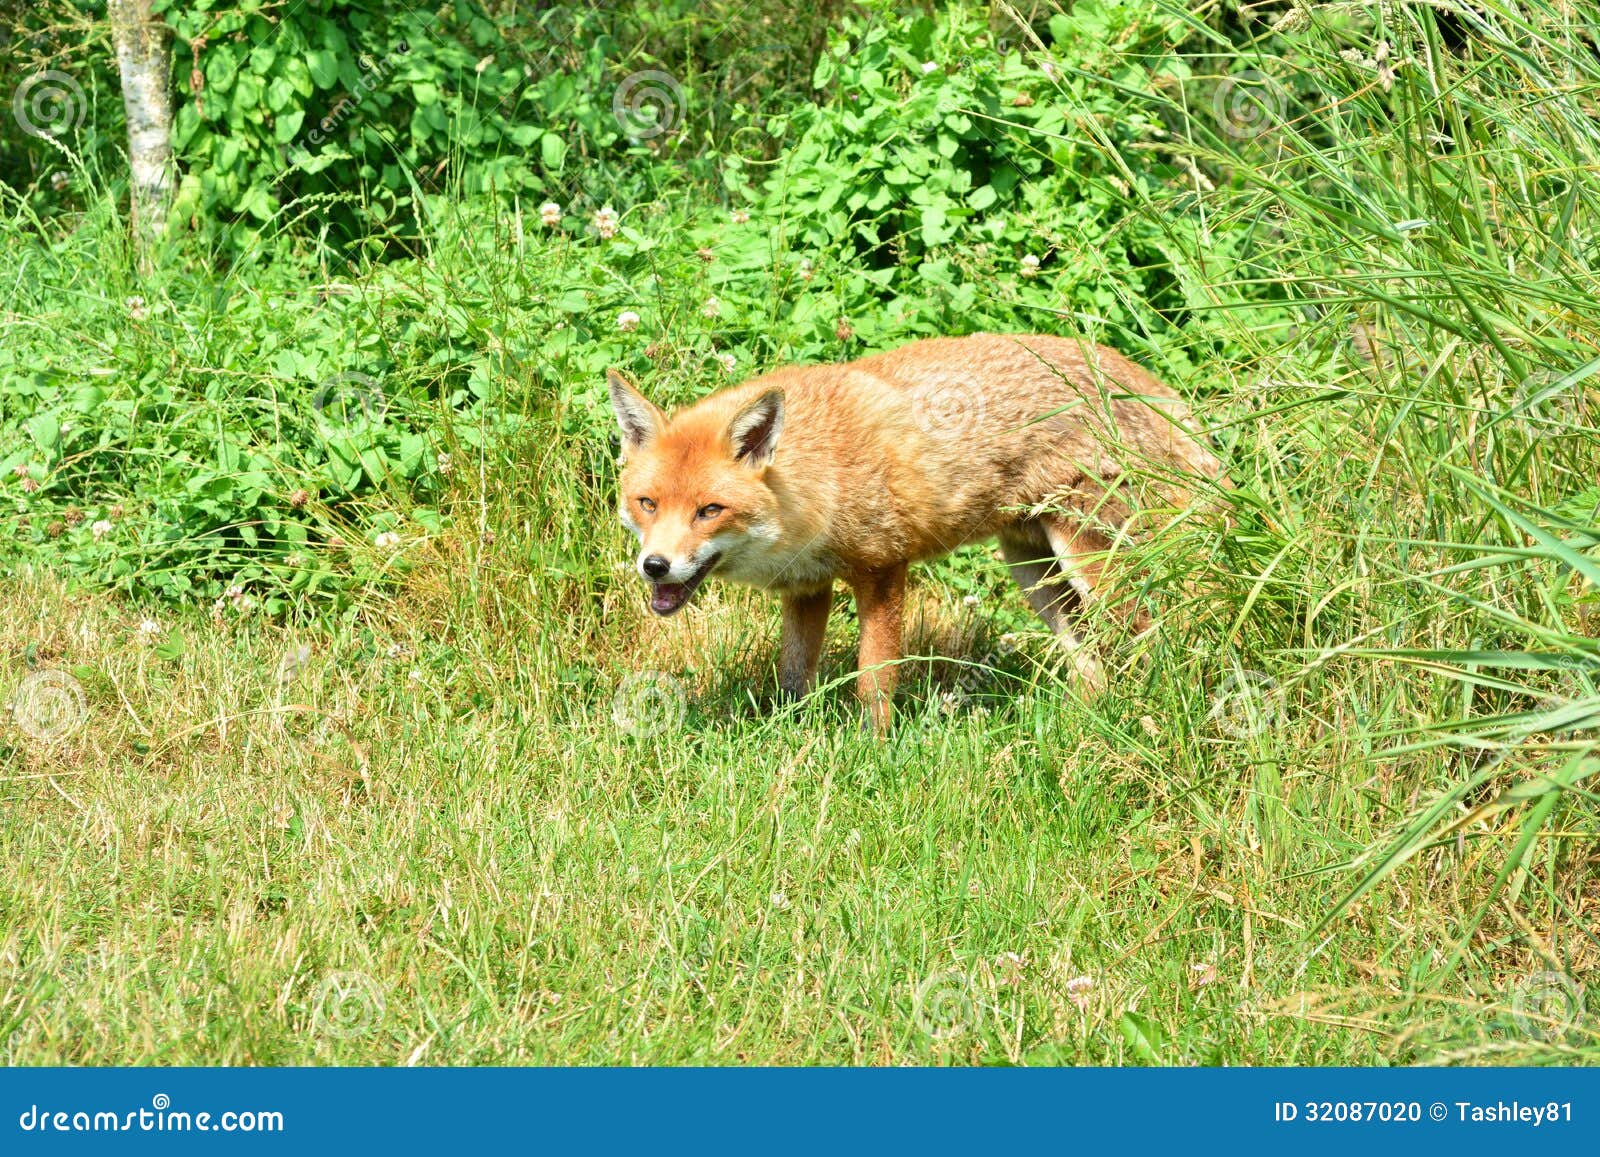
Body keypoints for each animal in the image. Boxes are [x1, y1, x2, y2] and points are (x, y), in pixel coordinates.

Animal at [608, 332, 1226, 731]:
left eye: (709, 510)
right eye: (647, 503)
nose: (654, 566)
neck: (817, 478)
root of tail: (1146, 382)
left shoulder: (883, 569)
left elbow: (874, 682)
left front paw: (870, 754)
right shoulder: (807, 587)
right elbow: (792, 682)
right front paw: (791, 741)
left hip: (1095, 566)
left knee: (1165, 634)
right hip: (1035, 575)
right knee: (1092, 659)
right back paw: (1088, 721)